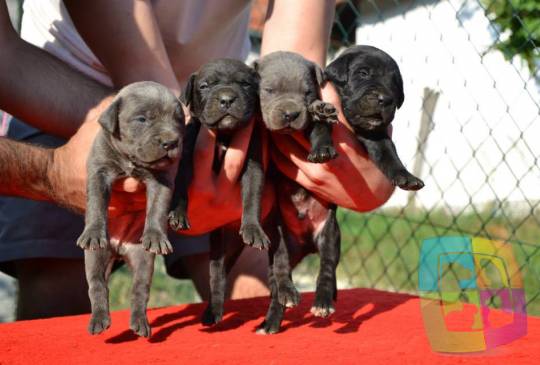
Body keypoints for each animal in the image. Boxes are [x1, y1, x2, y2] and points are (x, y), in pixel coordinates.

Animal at [75, 81, 186, 336]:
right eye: (142, 119)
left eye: (178, 120)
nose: (171, 142)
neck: (130, 162)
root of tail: (120, 247)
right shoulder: (98, 170)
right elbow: (96, 205)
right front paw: (93, 231)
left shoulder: (162, 179)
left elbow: (157, 209)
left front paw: (156, 236)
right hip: (96, 257)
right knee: (97, 285)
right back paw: (99, 320)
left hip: (142, 259)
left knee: (140, 289)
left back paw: (139, 323)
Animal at [167, 59, 264, 324]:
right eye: (204, 86)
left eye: (245, 84)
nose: (227, 99)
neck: (224, 135)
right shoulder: (188, 153)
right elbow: (181, 184)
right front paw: (178, 214)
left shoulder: (252, 162)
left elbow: (252, 196)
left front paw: (253, 227)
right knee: (217, 274)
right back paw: (212, 312)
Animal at [256, 51, 342, 332]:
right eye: (269, 90)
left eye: (307, 92)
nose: (291, 114)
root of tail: (305, 246)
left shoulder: (314, 120)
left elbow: (321, 128)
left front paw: (322, 149)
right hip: (280, 239)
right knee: (279, 275)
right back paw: (273, 317)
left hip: (329, 233)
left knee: (327, 268)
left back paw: (324, 301)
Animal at [322, 44, 424, 189]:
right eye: (363, 73)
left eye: (395, 84)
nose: (386, 99)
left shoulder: (376, 135)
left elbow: (388, 152)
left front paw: (406, 176)